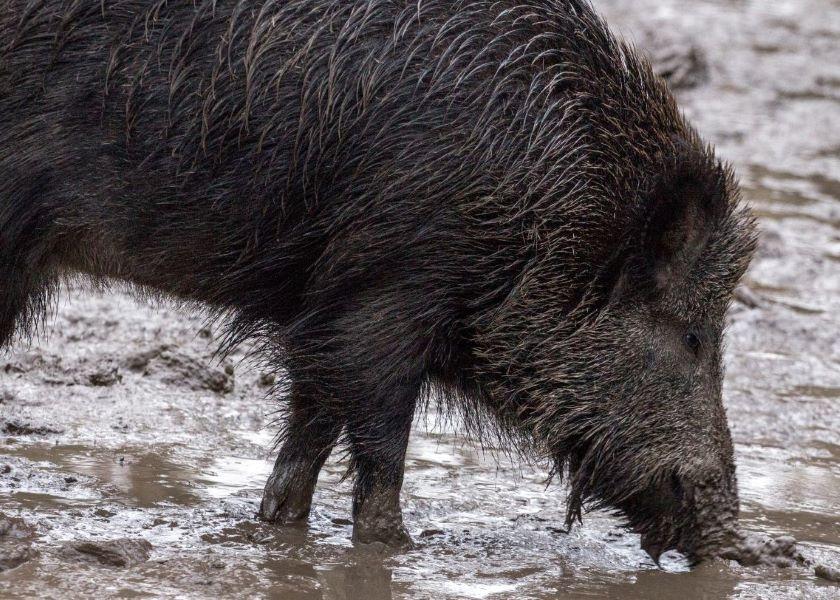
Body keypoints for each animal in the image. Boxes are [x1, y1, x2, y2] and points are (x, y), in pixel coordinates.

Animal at [0, 0, 760, 560]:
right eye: (693, 338)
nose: (735, 548)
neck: (542, 212)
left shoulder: (325, 312)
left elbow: (310, 431)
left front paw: (279, 526)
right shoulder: (388, 290)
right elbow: (379, 449)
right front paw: (396, 549)